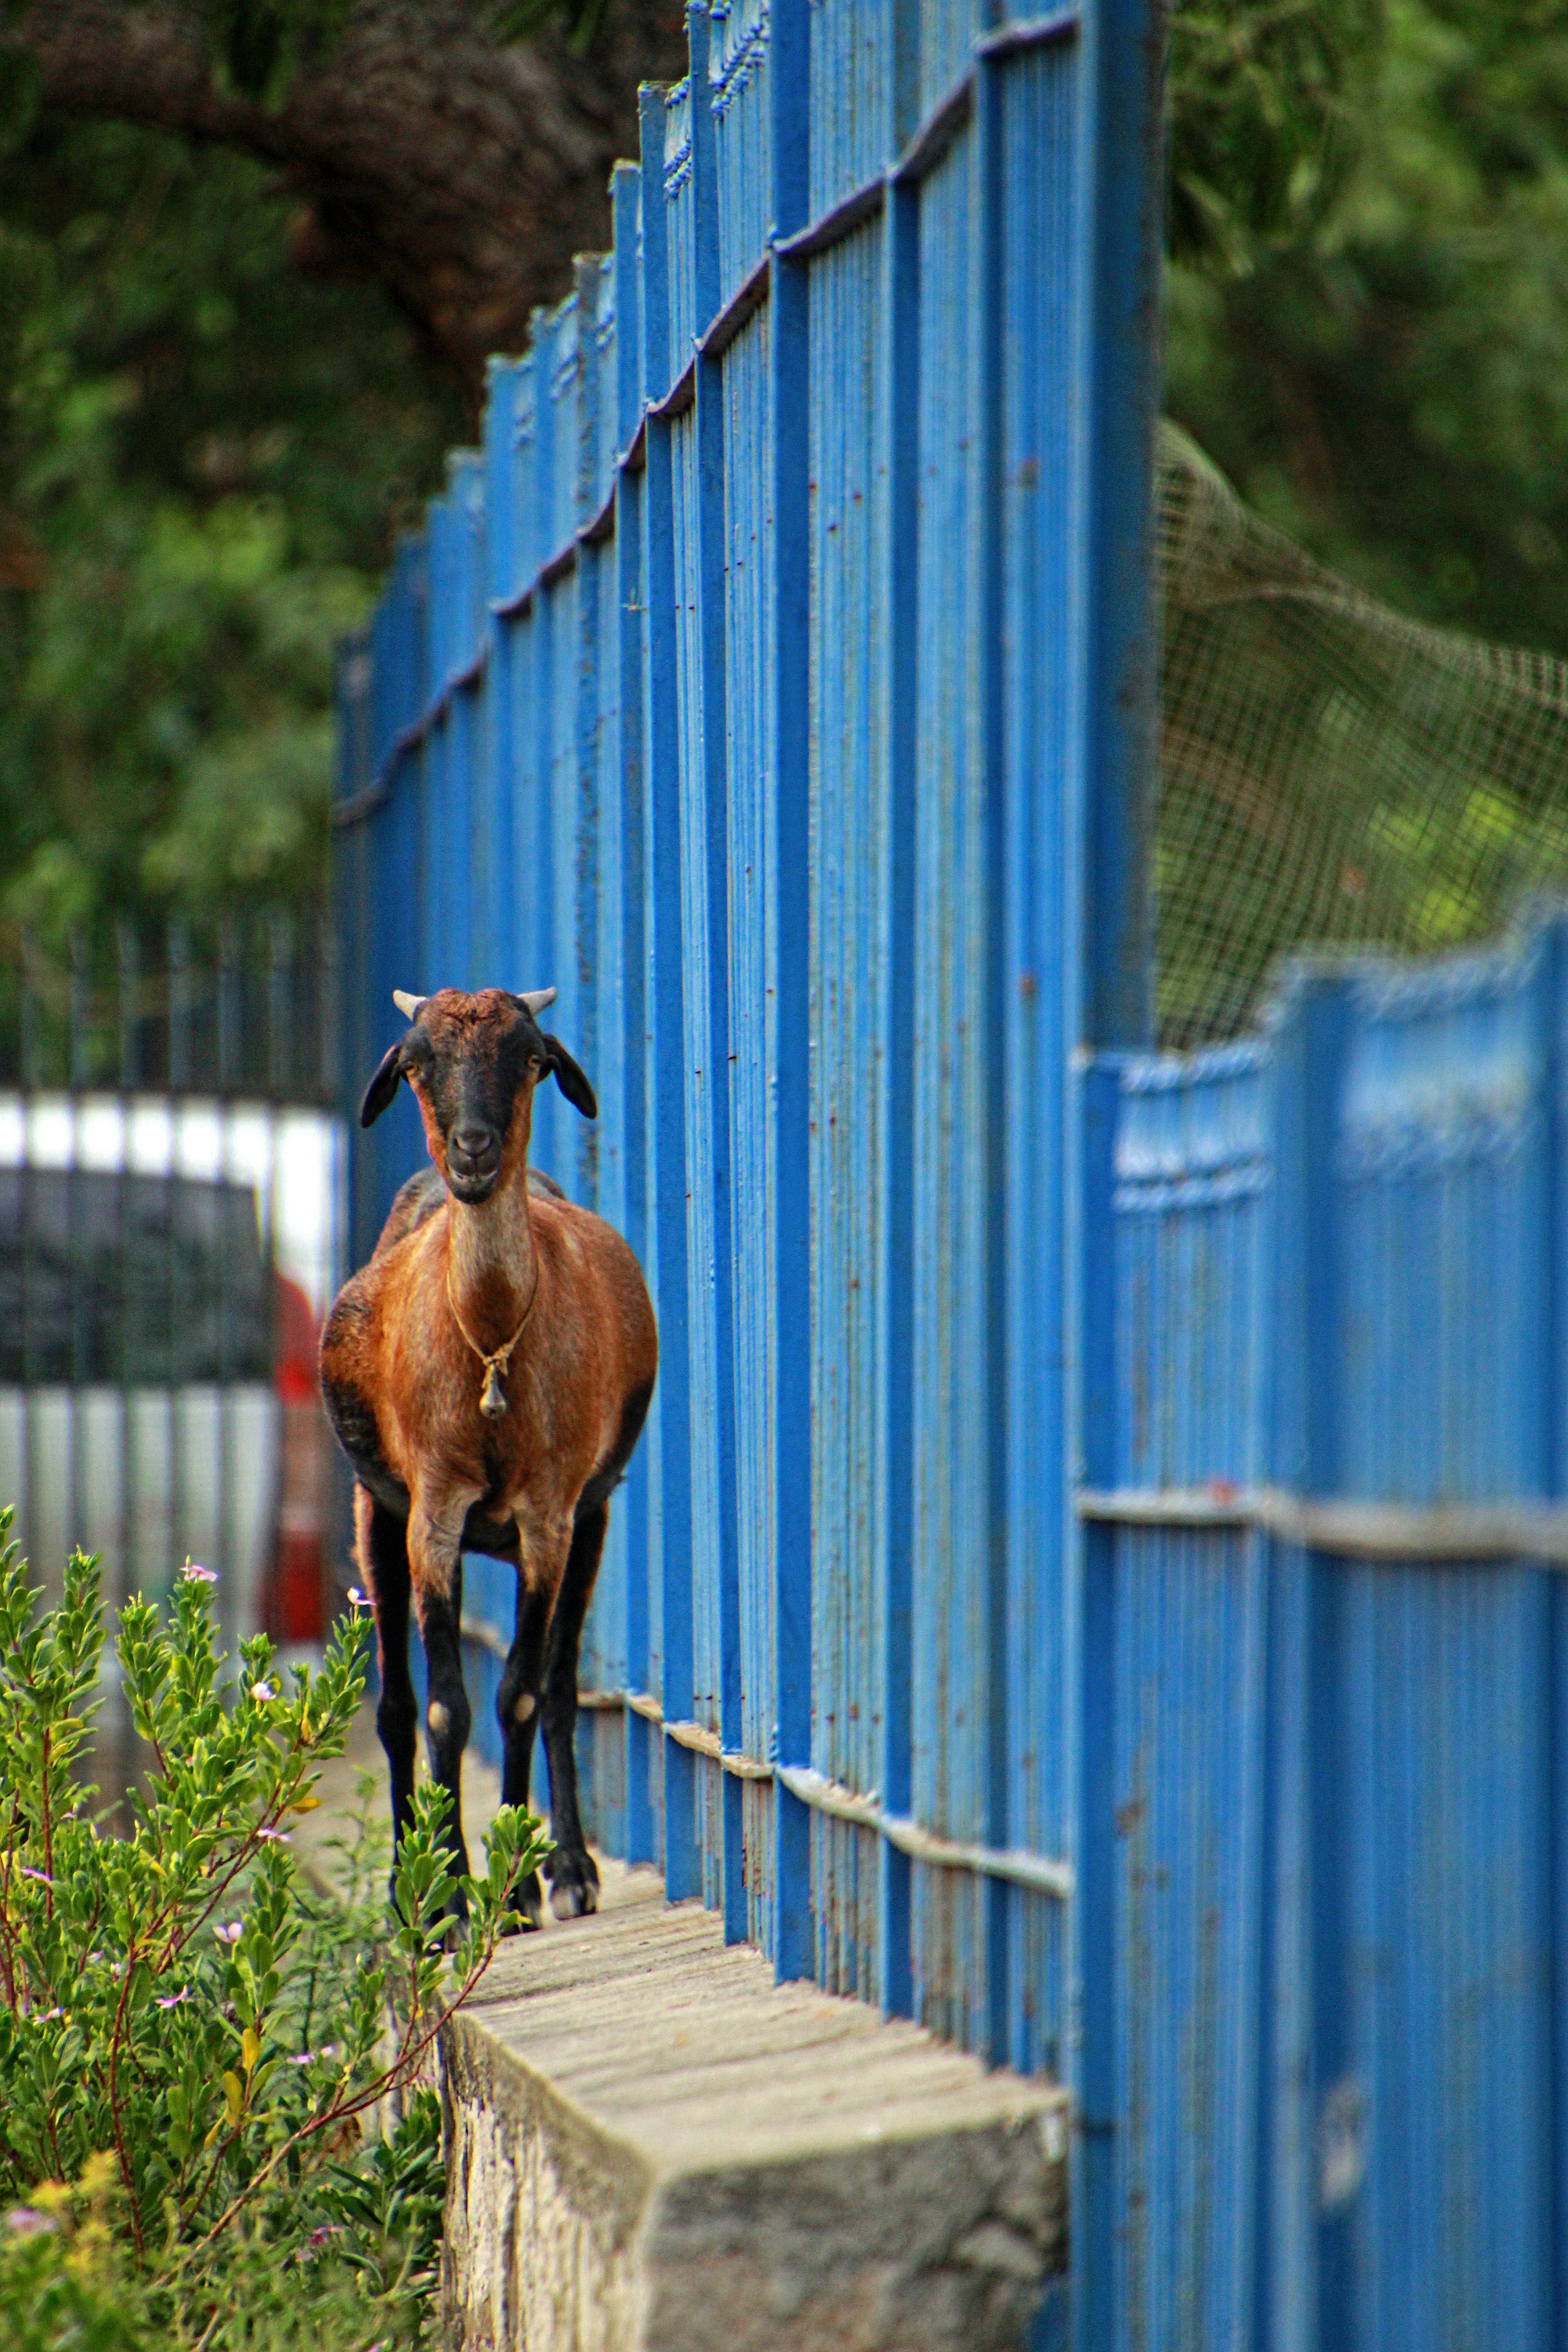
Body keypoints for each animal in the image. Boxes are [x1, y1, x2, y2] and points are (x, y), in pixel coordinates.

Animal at [319, 986, 657, 1923]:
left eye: (532, 1057)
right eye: (416, 1061)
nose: (473, 1148)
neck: (492, 1345)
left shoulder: (550, 1516)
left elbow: (523, 1691)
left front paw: (518, 1888)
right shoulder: (433, 1514)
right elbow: (443, 1708)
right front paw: (444, 1901)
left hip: (593, 1517)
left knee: (560, 1687)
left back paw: (569, 1868)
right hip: (376, 1516)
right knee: (397, 1705)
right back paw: (407, 1884)